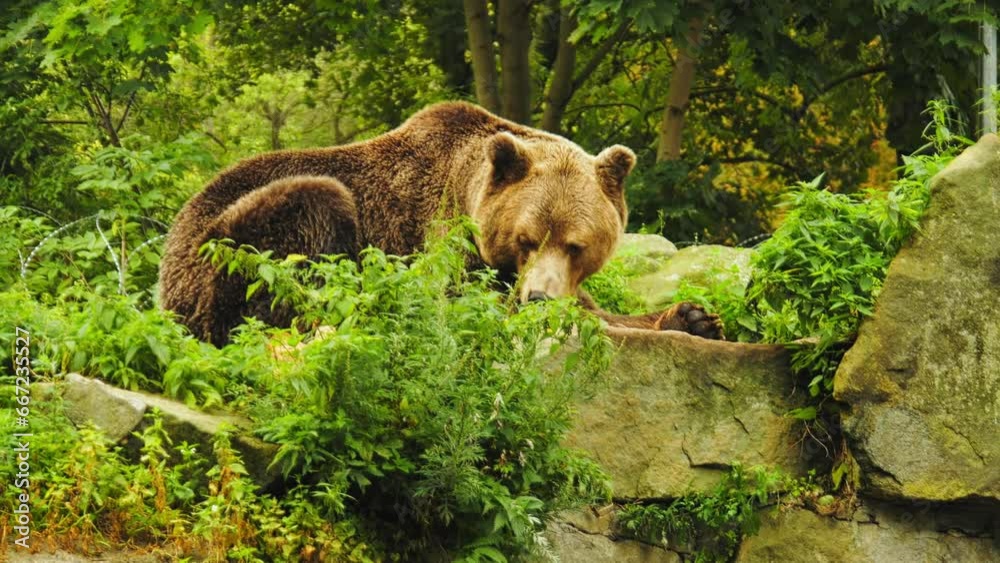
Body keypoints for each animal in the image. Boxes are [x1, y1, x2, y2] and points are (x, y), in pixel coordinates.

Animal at [159, 101, 723, 346]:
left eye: (576, 245)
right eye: (526, 238)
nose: (539, 297)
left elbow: (600, 307)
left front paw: (694, 317)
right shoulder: (439, 235)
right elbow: (456, 297)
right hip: (227, 248)